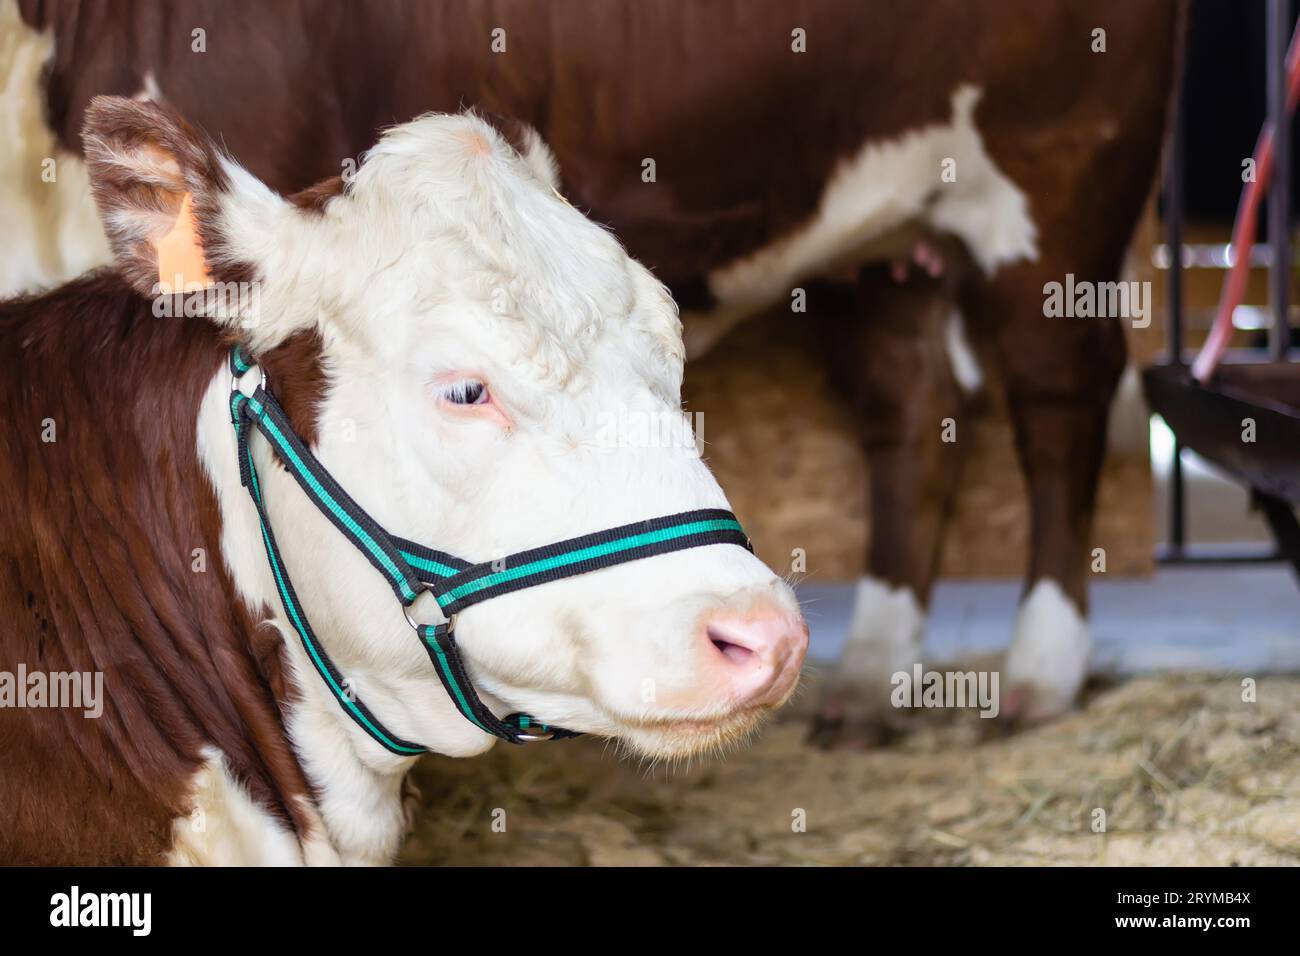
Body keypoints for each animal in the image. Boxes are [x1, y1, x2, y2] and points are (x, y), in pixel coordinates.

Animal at [0, 0, 1181, 738]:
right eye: (466, 388)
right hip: (875, 242)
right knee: (912, 404)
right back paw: (871, 675)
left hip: (1061, 166)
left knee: (1056, 399)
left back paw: (1040, 668)